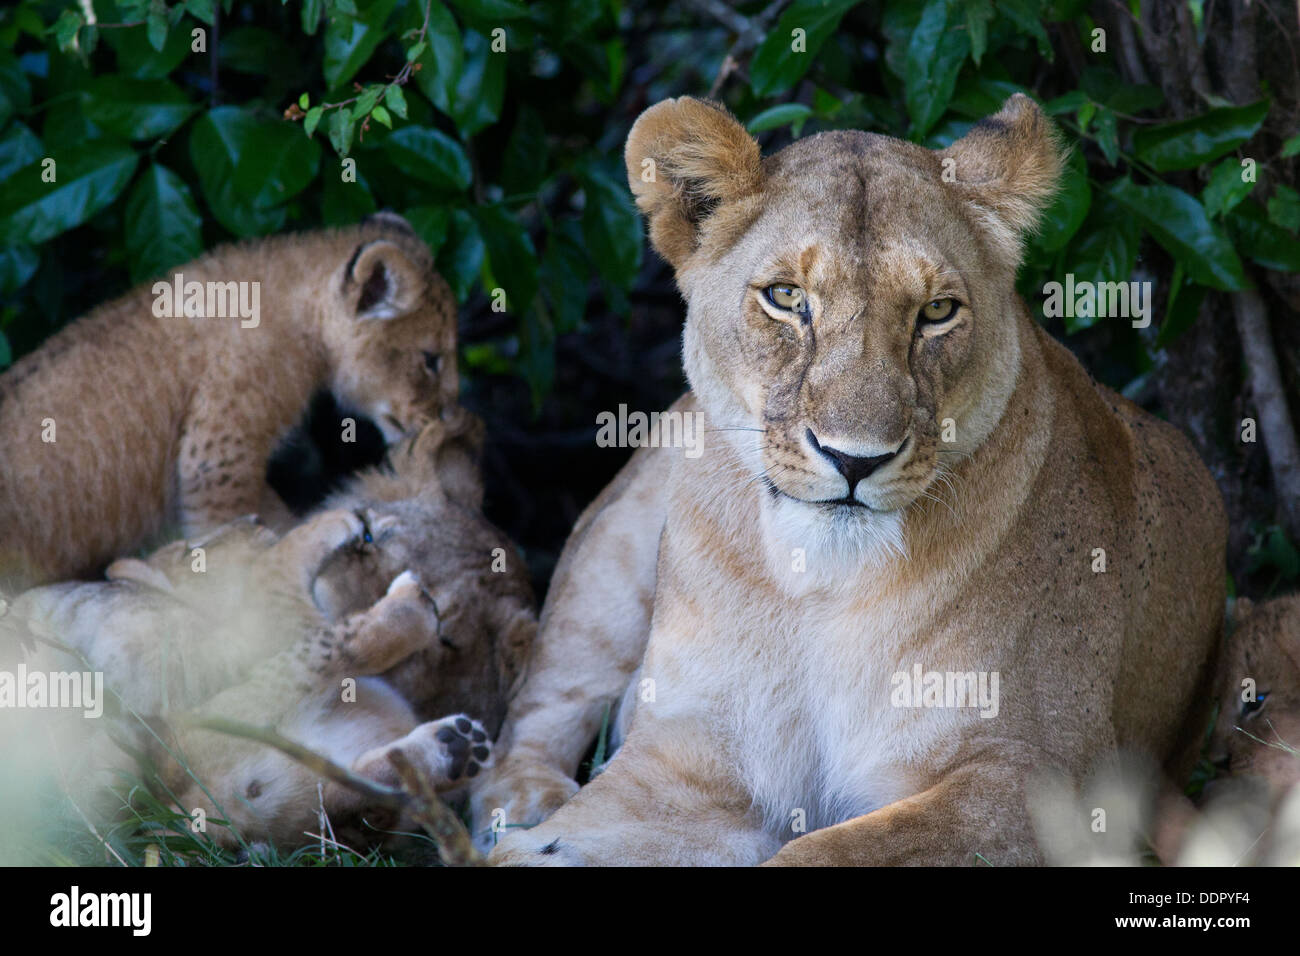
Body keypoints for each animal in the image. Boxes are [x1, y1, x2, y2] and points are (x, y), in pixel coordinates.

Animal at [474, 94, 1227, 865]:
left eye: (936, 312)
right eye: (785, 297)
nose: (856, 460)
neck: (820, 590)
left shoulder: (1044, 782)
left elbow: (819, 852)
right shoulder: (693, 761)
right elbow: (544, 847)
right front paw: (527, 838)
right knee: (531, 718)